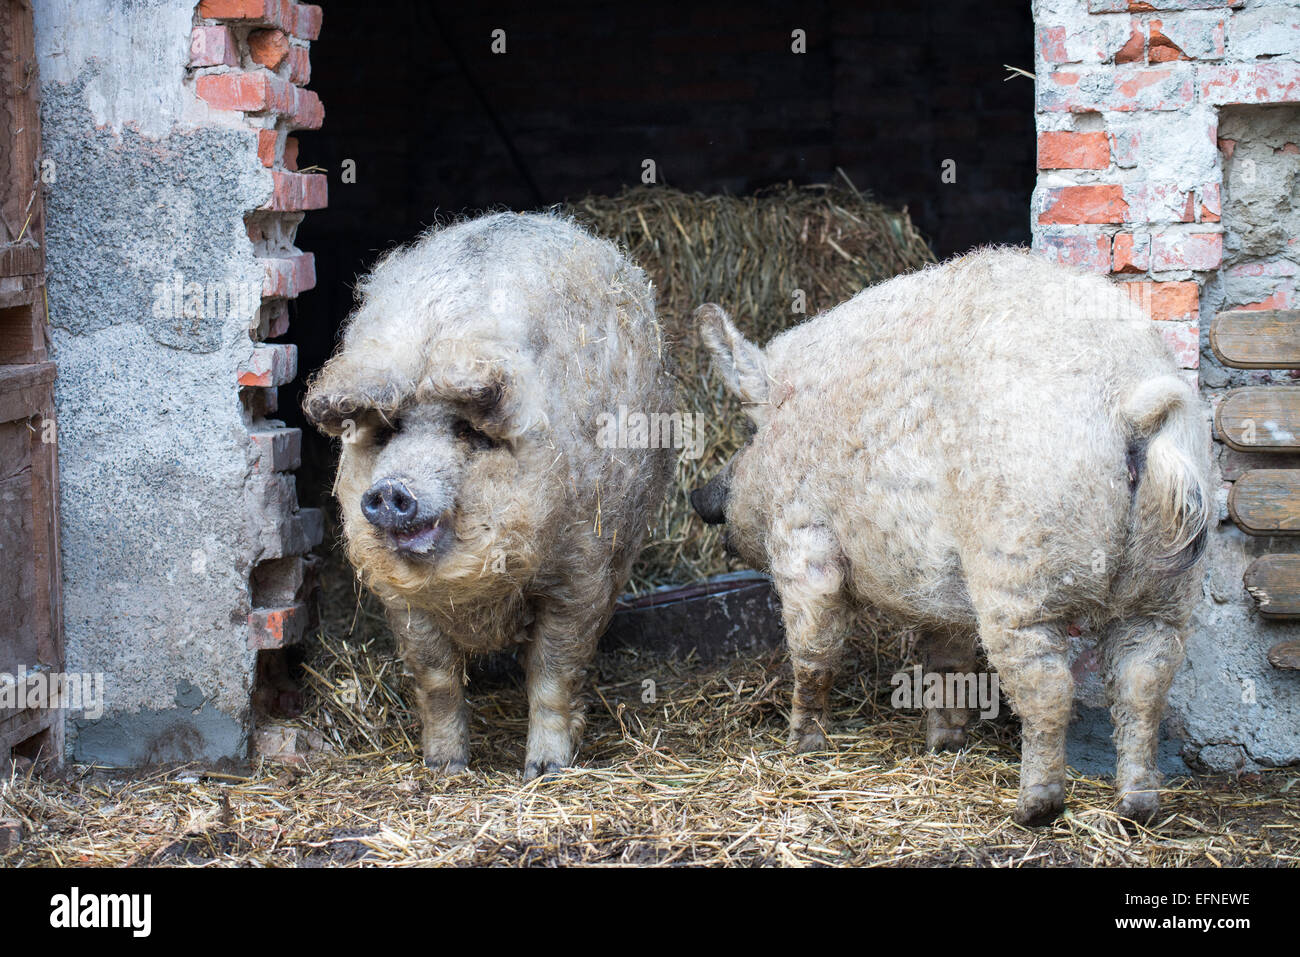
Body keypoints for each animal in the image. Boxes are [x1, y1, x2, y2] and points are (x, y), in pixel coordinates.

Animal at [303, 212, 674, 779]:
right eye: (386, 432)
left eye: (467, 432)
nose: (391, 489)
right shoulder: (400, 600)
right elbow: (435, 679)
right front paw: (445, 768)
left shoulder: (581, 572)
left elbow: (553, 671)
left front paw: (544, 770)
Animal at [690, 248, 1210, 825]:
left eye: (749, 434)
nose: (697, 496)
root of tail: (1132, 403)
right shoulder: (941, 594)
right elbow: (946, 661)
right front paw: (944, 746)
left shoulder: (803, 540)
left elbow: (814, 651)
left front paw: (801, 746)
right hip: (1167, 587)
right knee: (1145, 679)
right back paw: (1136, 807)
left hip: (1017, 569)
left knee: (1048, 684)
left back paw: (1033, 808)